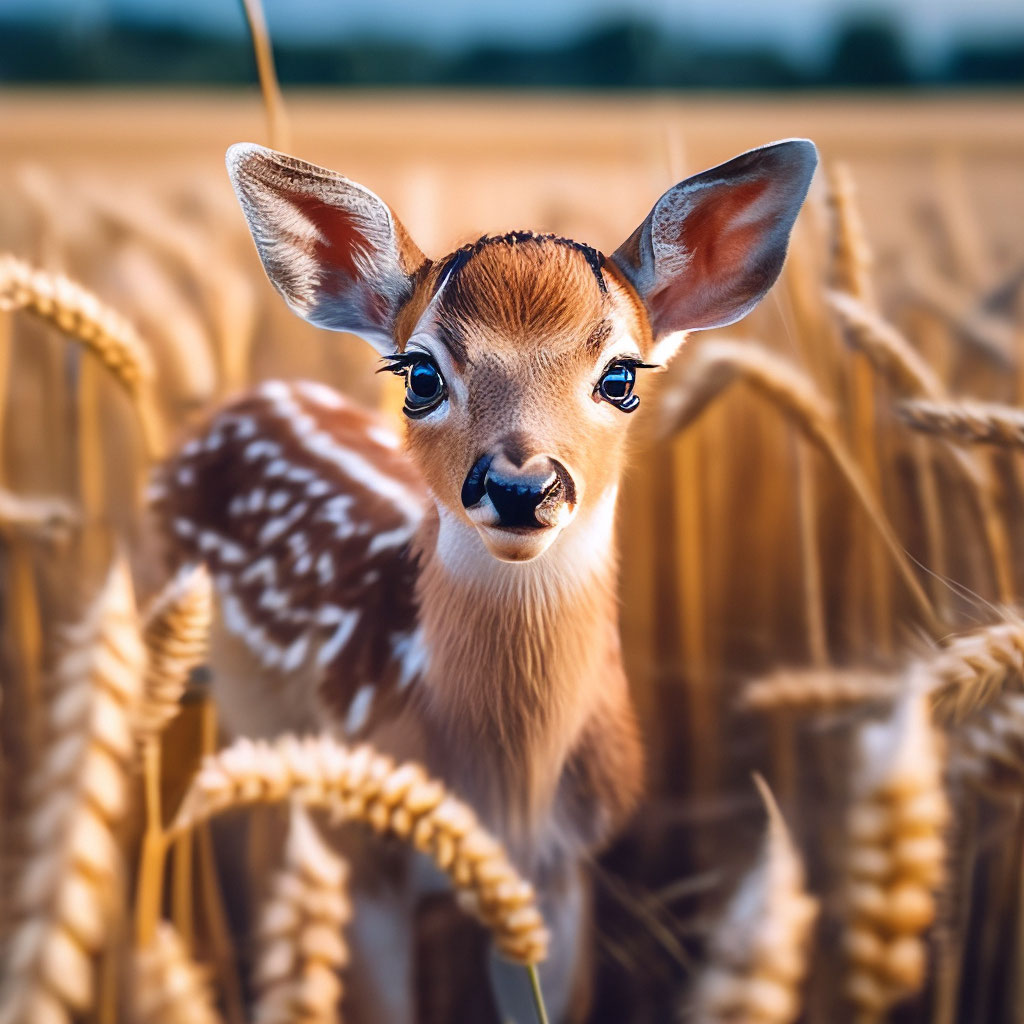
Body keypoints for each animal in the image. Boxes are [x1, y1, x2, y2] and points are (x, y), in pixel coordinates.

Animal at [151, 137, 817, 1023]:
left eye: (621, 377)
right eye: (420, 375)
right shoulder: (366, 856)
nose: (521, 485)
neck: (506, 790)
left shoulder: (560, 870)